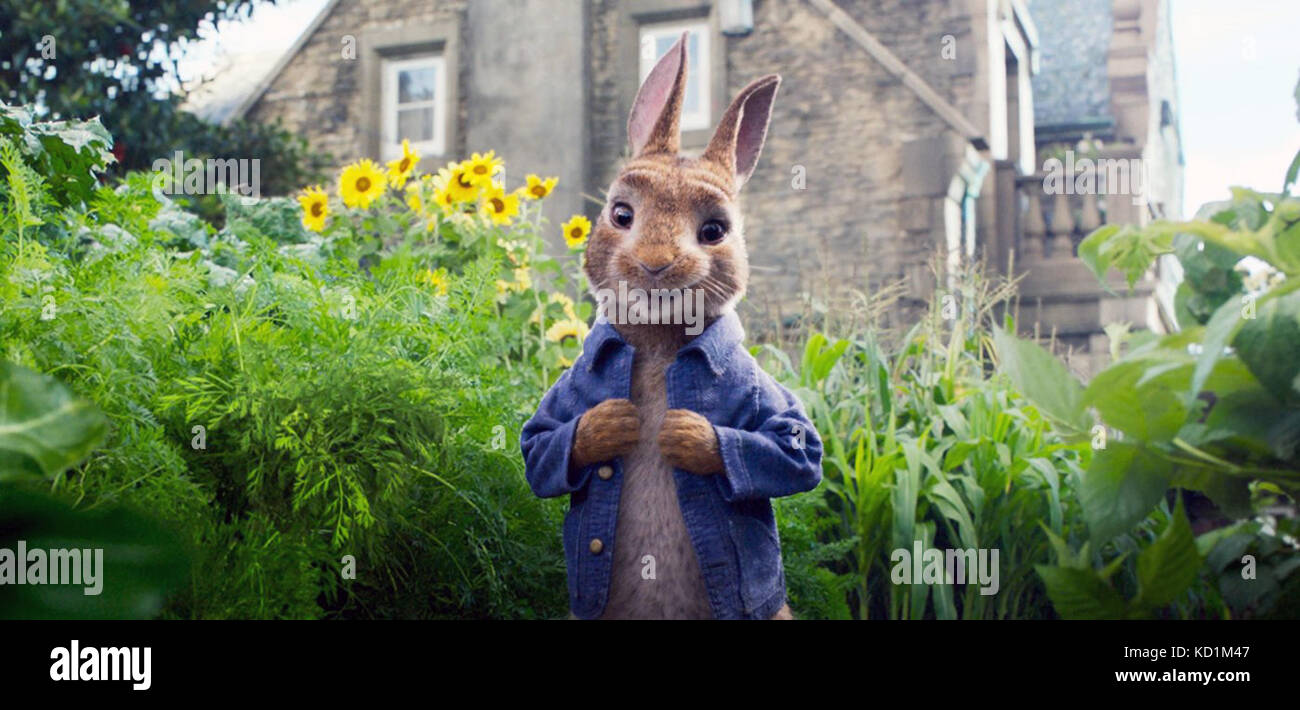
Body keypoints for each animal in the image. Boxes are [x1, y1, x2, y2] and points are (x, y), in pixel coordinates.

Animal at [522, 33, 822, 620]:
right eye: (621, 214)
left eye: (715, 230)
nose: (656, 263)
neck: (660, 342)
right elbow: (541, 445)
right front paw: (615, 422)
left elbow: (795, 450)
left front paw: (681, 431)